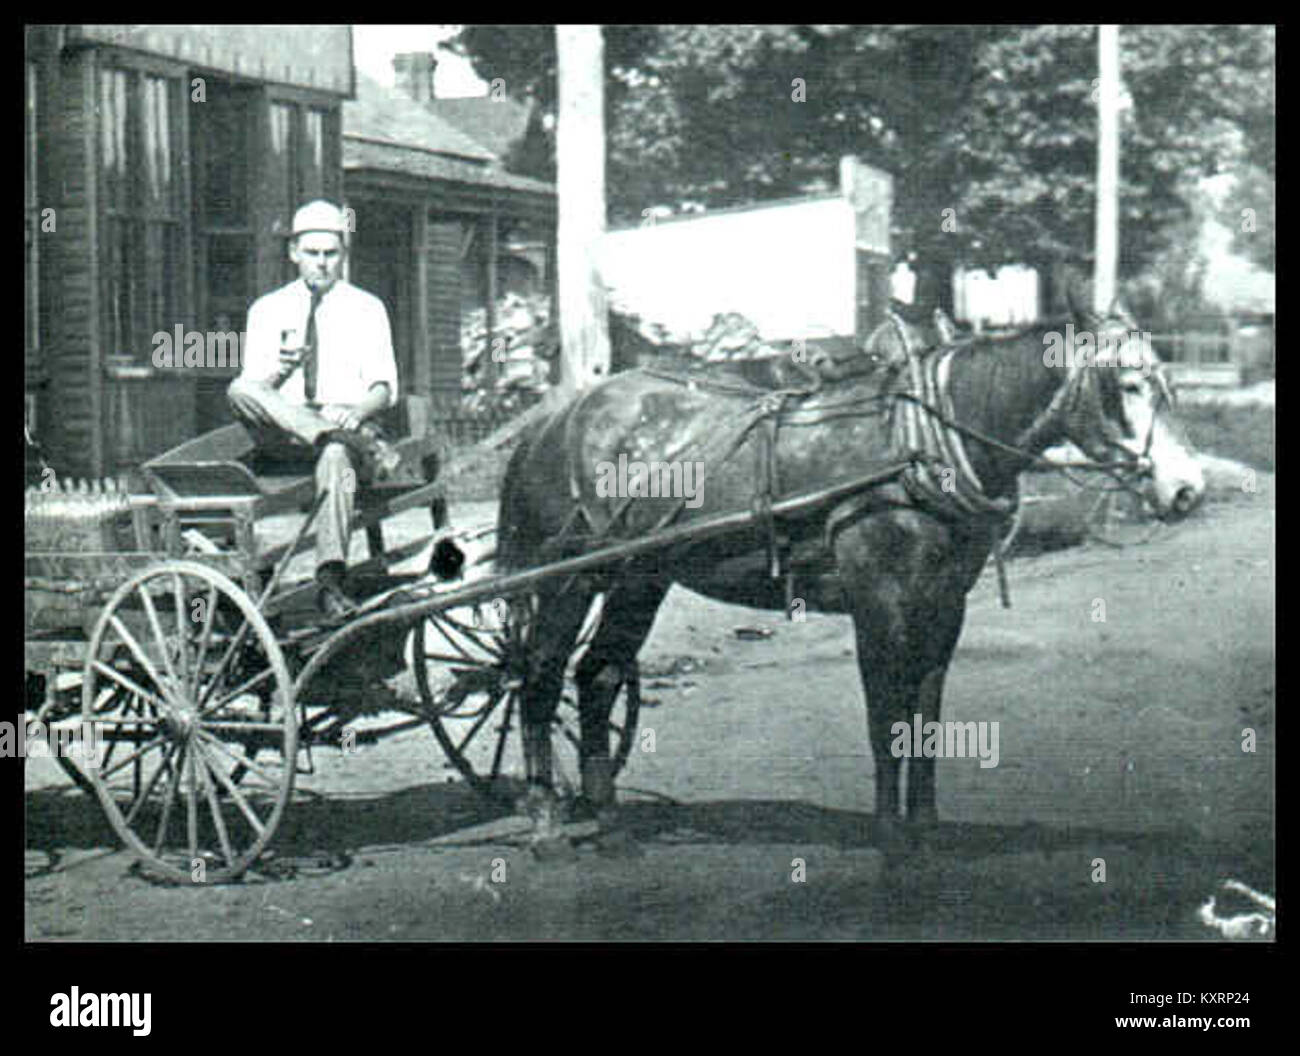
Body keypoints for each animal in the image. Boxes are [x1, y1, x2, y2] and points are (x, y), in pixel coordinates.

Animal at [494, 294, 1206, 846]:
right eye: (1127, 384)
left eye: (1166, 384)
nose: (1187, 490)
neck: (917, 448)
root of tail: (556, 420)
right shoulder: (879, 601)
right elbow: (885, 718)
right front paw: (890, 836)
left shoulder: (944, 605)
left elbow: (926, 715)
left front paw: (925, 829)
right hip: (567, 578)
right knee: (539, 678)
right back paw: (546, 818)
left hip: (639, 577)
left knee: (598, 675)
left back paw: (608, 820)